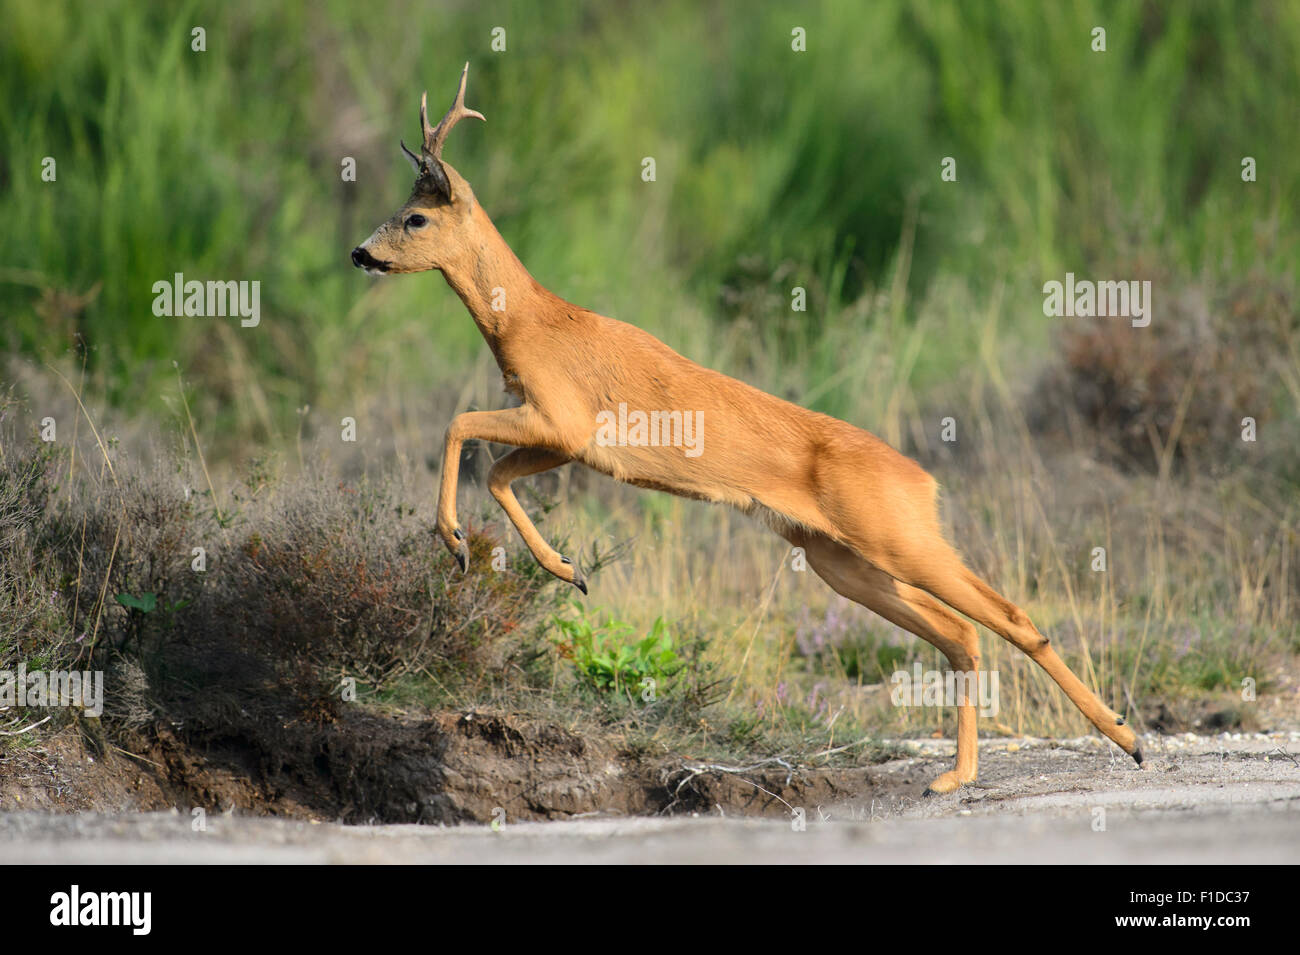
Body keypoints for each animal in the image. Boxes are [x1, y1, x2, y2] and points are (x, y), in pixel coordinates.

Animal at [350, 64, 1143, 795]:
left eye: (416, 217)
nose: (361, 253)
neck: (528, 322)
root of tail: (924, 480)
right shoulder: (567, 444)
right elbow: (495, 470)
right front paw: (566, 570)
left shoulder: (562, 421)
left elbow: (458, 426)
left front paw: (457, 542)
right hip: (840, 560)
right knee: (962, 634)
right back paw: (956, 774)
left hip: (900, 540)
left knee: (1011, 617)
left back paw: (1125, 739)